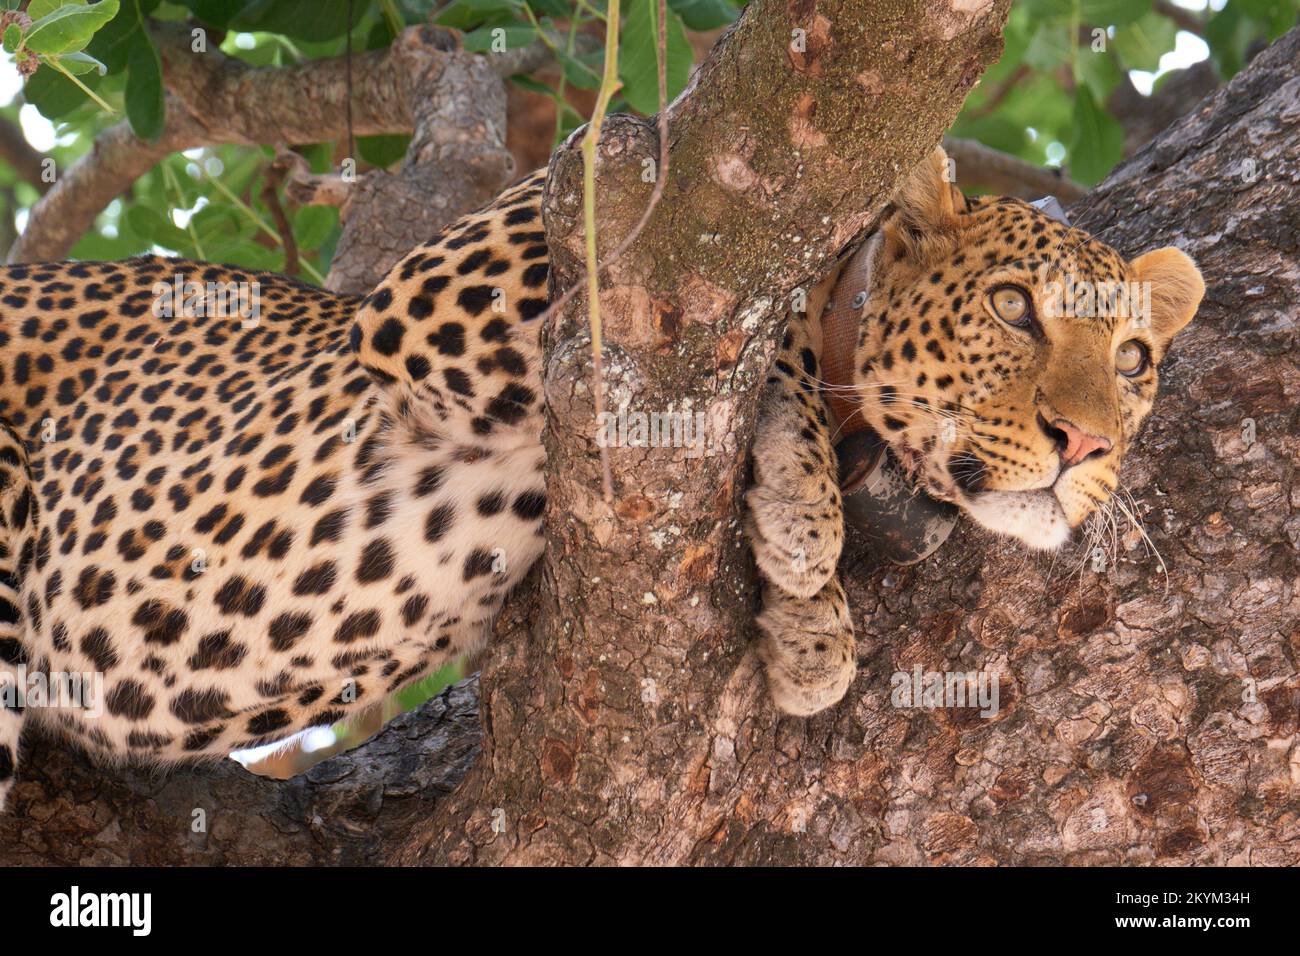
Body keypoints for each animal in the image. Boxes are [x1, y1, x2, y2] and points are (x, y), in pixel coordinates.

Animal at [0, 147, 1202, 808]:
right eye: (1012, 306)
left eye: (1133, 361)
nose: (1085, 445)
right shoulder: (442, 301)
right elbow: (759, 320)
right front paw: (802, 514)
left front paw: (811, 627)